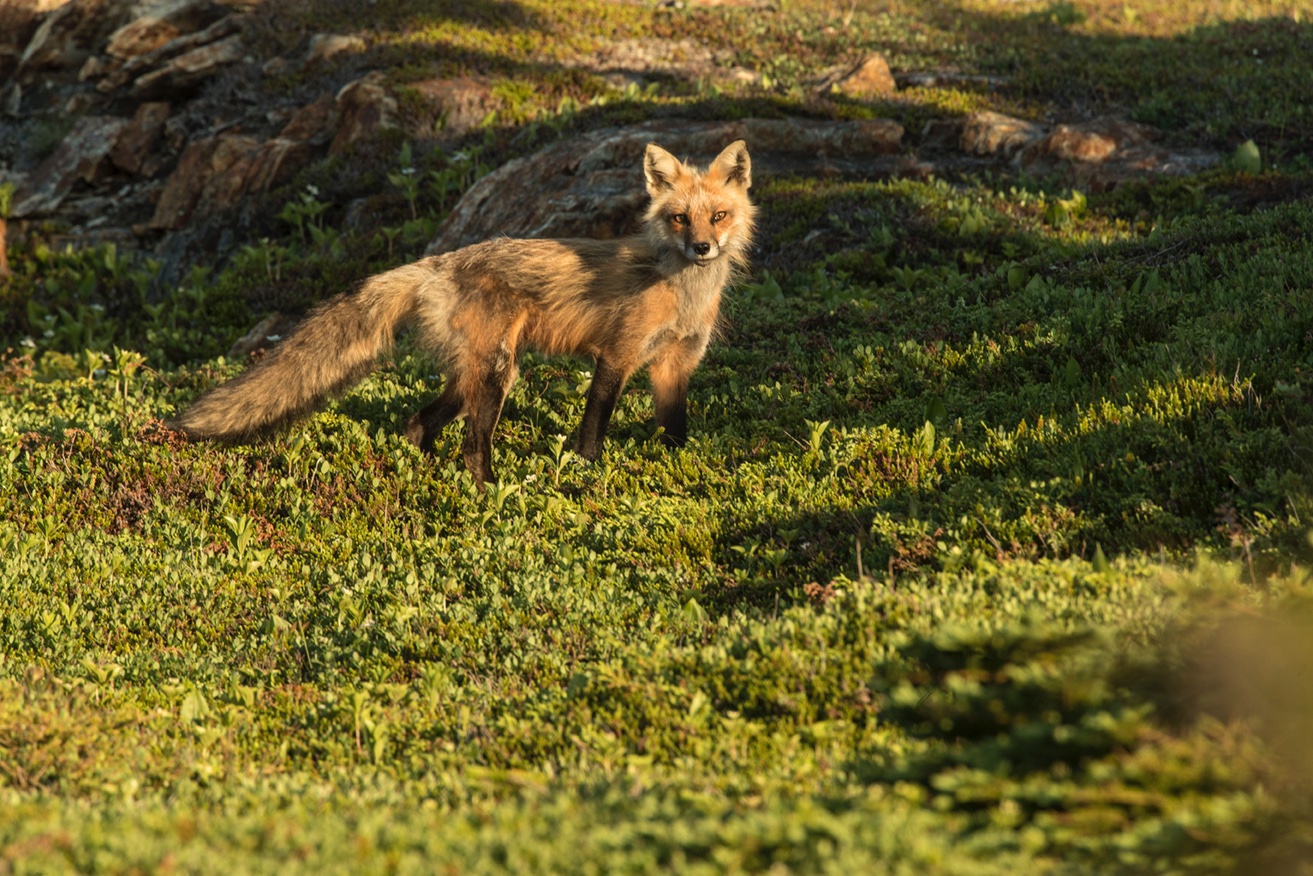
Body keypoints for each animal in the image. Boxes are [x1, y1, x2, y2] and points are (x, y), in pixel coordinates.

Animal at [171, 139, 756, 485]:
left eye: (718, 216)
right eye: (679, 218)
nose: (702, 247)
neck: (682, 291)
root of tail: (435, 263)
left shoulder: (675, 366)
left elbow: (675, 430)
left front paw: (677, 467)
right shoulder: (616, 356)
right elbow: (592, 432)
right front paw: (587, 476)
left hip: (476, 374)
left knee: (417, 423)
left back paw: (424, 475)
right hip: (497, 372)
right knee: (473, 448)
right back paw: (490, 492)